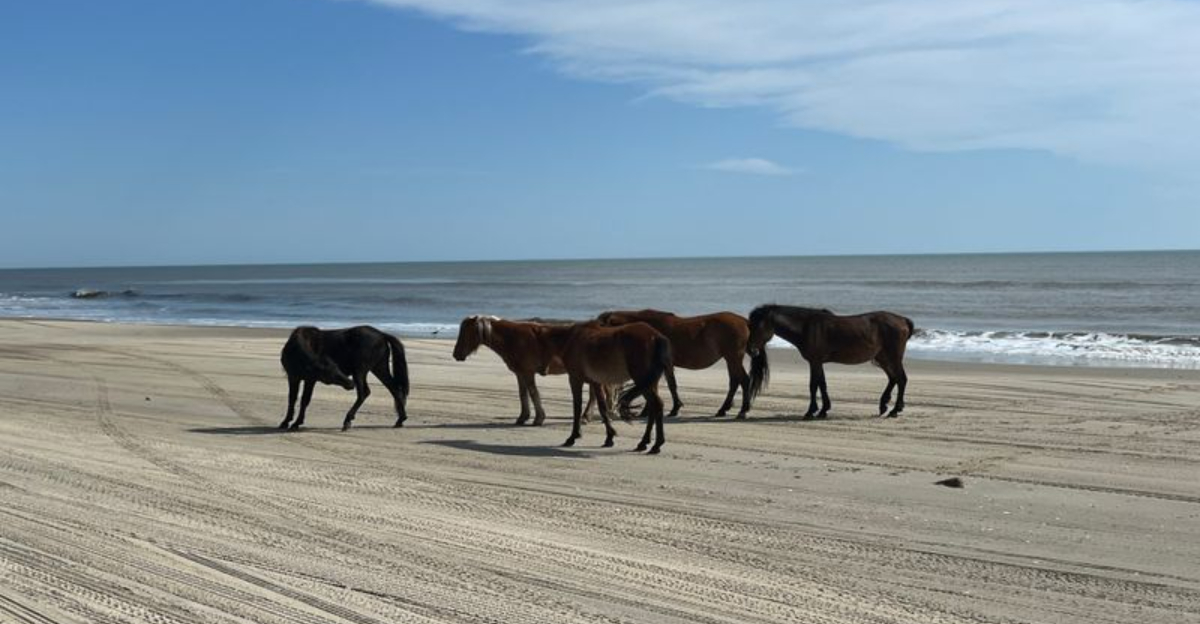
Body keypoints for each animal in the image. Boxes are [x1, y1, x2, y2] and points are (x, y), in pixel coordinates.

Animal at [278, 325, 409, 431]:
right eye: (328, 374)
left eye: (336, 369)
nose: (350, 383)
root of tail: (381, 335)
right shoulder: (295, 378)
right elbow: (293, 398)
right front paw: (287, 422)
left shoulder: (309, 380)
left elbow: (303, 400)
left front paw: (294, 423)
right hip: (379, 368)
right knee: (394, 389)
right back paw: (400, 420)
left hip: (360, 371)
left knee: (363, 393)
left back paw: (347, 421)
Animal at [452, 316, 607, 426]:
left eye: (466, 332)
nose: (455, 354)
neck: (512, 338)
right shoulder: (520, 373)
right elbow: (523, 393)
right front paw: (523, 417)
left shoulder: (528, 372)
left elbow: (533, 392)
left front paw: (539, 418)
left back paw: (587, 416)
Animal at [548, 321, 675, 454]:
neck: (570, 338)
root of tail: (656, 336)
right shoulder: (596, 382)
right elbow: (602, 407)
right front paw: (609, 437)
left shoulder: (575, 379)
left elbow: (577, 408)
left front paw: (573, 437)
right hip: (649, 384)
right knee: (653, 407)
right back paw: (645, 443)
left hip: (642, 380)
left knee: (656, 405)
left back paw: (655, 445)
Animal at [596, 309, 766, 418]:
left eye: (602, 325)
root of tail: (743, 321)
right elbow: (659, 385)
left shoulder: (665, 364)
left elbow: (669, 385)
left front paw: (673, 409)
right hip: (730, 359)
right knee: (735, 382)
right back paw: (723, 410)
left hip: (733, 358)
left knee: (744, 380)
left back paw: (743, 411)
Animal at [746, 305, 913, 419]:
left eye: (758, 326)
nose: (751, 350)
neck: (806, 327)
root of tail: (902, 320)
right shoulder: (817, 362)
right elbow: (822, 384)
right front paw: (823, 410)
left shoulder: (815, 361)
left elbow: (814, 385)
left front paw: (811, 411)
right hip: (883, 358)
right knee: (893, 378)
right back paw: (884, 406)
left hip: (893, 357)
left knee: (901, 379)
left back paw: (894, 410)